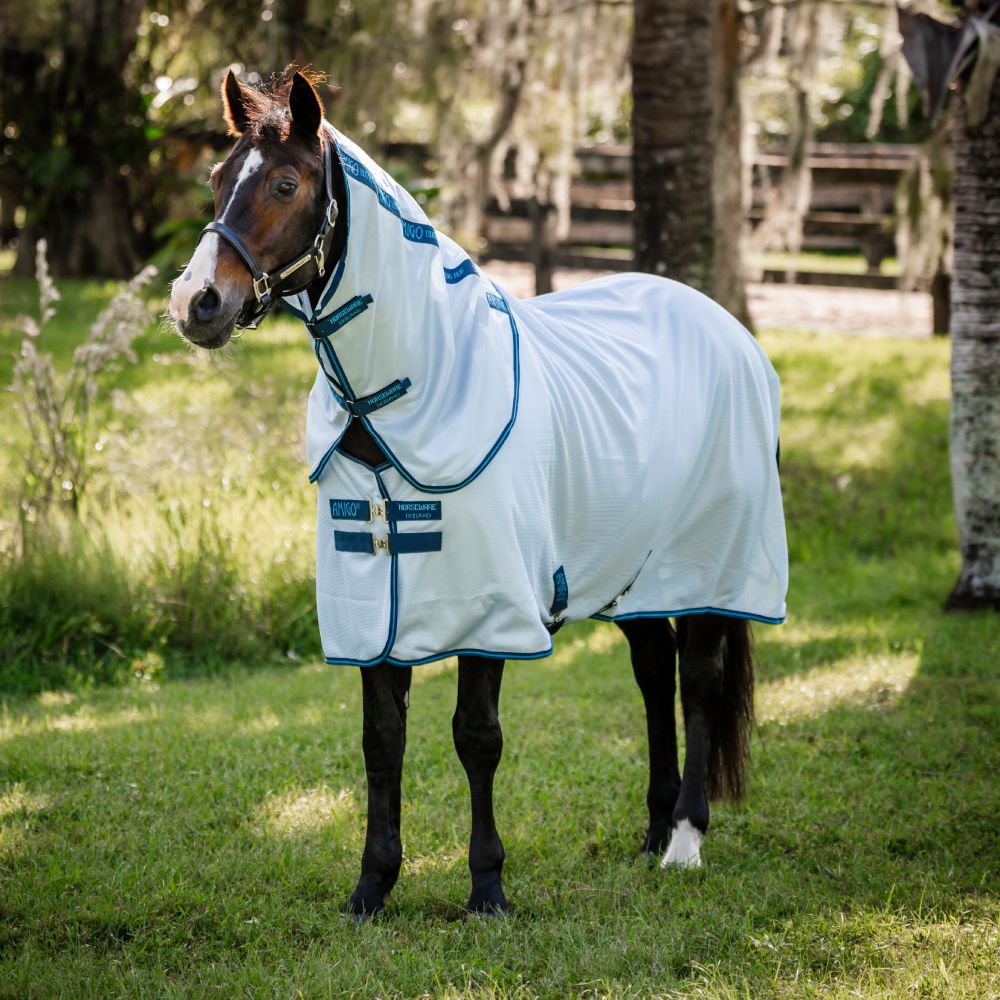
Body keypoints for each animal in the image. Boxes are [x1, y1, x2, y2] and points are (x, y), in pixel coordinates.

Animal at [169, 68, 788, 918]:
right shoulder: (374, 604)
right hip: (633, 570)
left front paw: (487, 887)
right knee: (652, 674)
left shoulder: (487, 605)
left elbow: (476, 735)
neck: (406, 387)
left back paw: (686, 842)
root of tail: (724, 326)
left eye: (286, 183)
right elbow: (381, 740)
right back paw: (656, 829)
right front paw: (372, 887)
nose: (196, 302)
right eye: (217, 179)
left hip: (708, 566)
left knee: (694, 682)